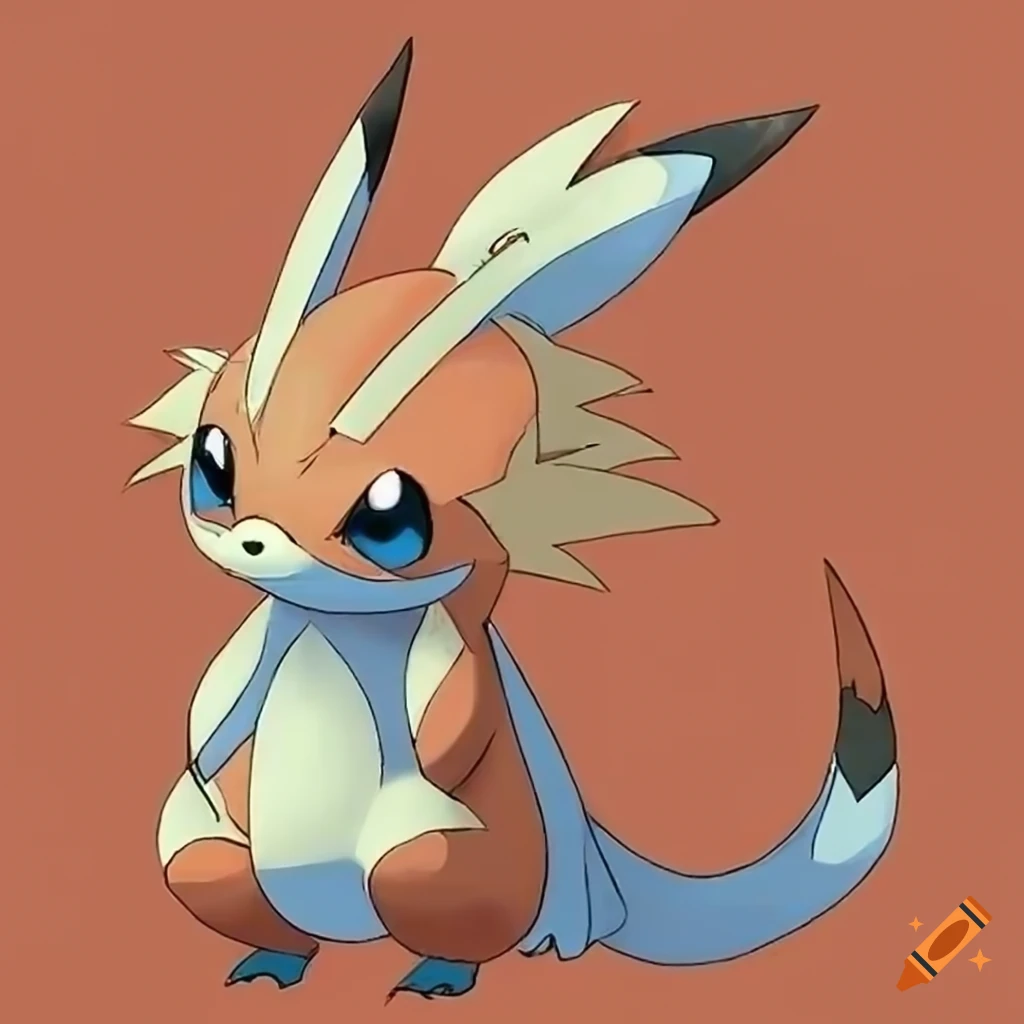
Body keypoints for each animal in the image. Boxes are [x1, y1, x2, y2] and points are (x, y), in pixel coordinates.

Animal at [126, 39, 899, 1002]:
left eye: (389, 519)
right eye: (214, 466)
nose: (254, 540)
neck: (342, 625)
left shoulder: (449, 650)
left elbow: (452, 728)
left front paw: (425, 768)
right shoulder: (269, 629)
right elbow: (212, 708)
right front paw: (199, 759)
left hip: (454, 868)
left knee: (419, 871)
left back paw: (435, 973)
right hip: (219, 859)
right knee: (200, 854)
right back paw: (276, 959)